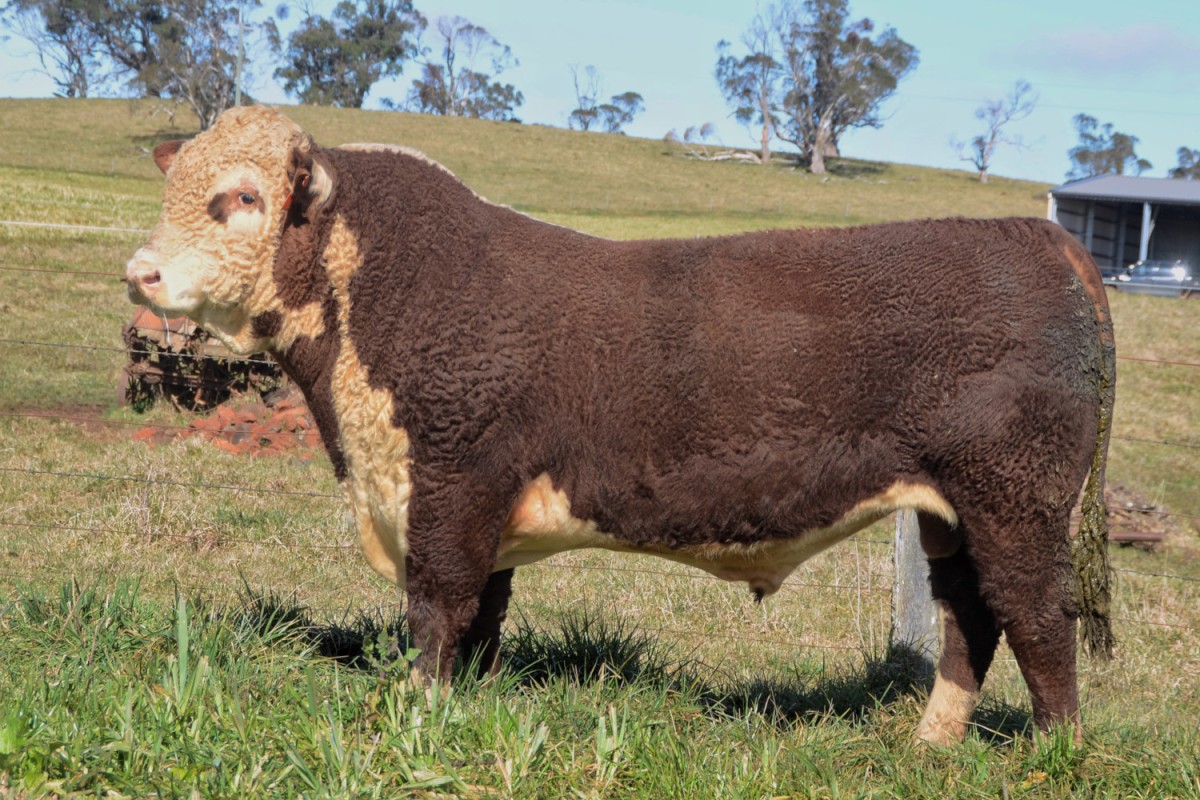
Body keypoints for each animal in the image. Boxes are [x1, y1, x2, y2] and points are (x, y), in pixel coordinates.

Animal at [125, 105, 1115, 746]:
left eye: (241, 197)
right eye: (173, 188)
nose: (141, 272)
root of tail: (1043, 240)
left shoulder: (451, 484)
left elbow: (438, 608)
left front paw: (418, 714)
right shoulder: (476, 500)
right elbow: (485, 616)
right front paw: (467, 704)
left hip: (1016, 500)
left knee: (1035, 615)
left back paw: (1055, 753)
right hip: (953, 511)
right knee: (969, 617)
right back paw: (930, 745)